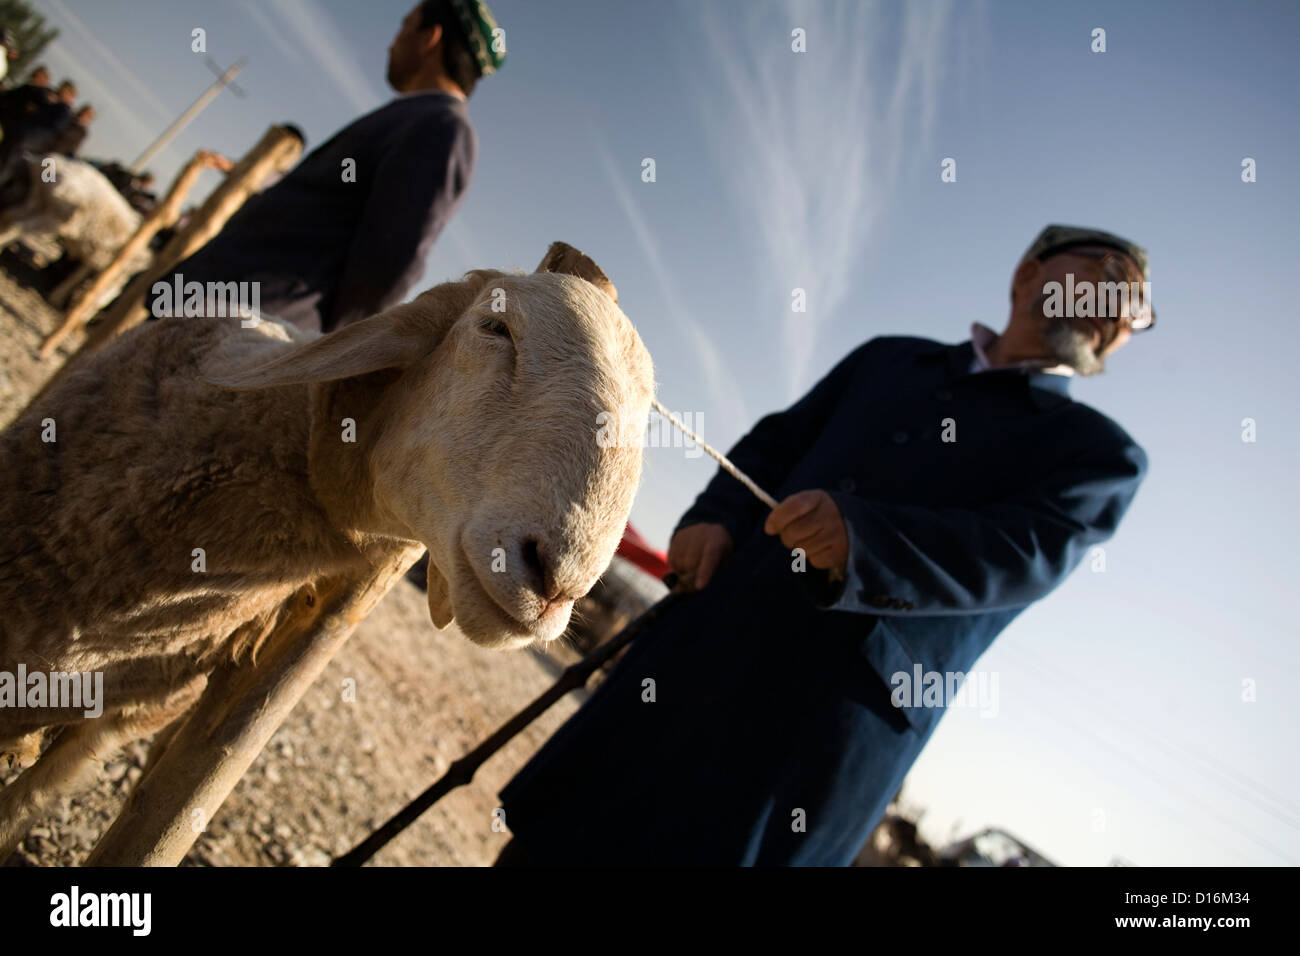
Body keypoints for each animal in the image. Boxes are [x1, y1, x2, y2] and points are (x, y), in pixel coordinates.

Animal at [0, 153, 151, 308]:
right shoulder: (105, 262)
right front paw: (60, 298)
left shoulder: (97, 257)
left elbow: (78, 275)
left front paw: (57, 296)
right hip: (56, 218)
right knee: (16, 225)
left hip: (39, 201)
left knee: (10, 216)